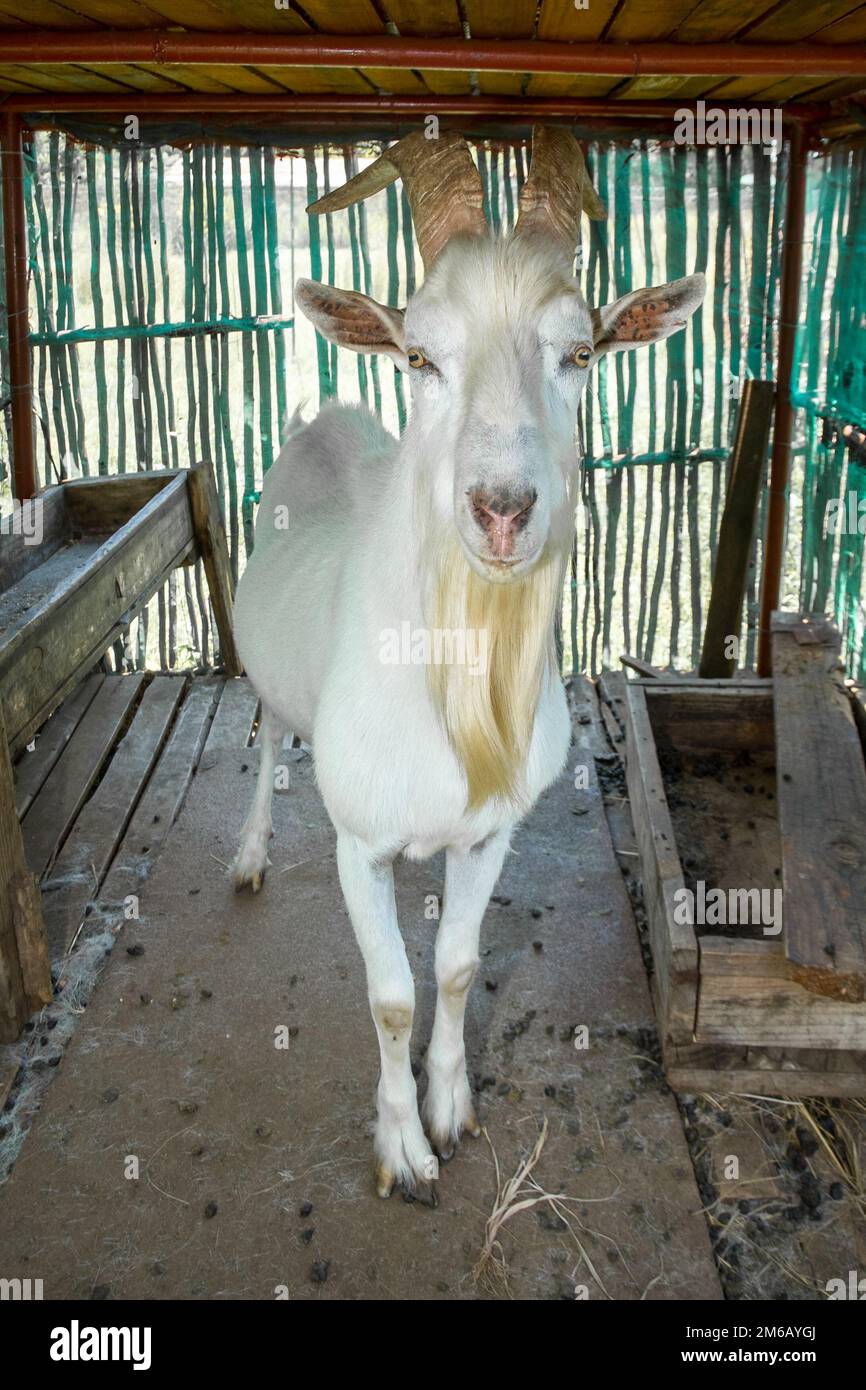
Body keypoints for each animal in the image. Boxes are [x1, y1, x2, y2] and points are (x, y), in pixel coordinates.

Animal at [233, 127, 705, 1204]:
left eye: (580, 352)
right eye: (420, 355)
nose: (501, 508)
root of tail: (326, 413)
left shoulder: (490, 833)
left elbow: (451, 966)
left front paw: (448, 1109)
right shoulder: (359, 844)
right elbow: (390, 994)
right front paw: (403, 1153)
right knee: (270, 731)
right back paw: (247, 852)